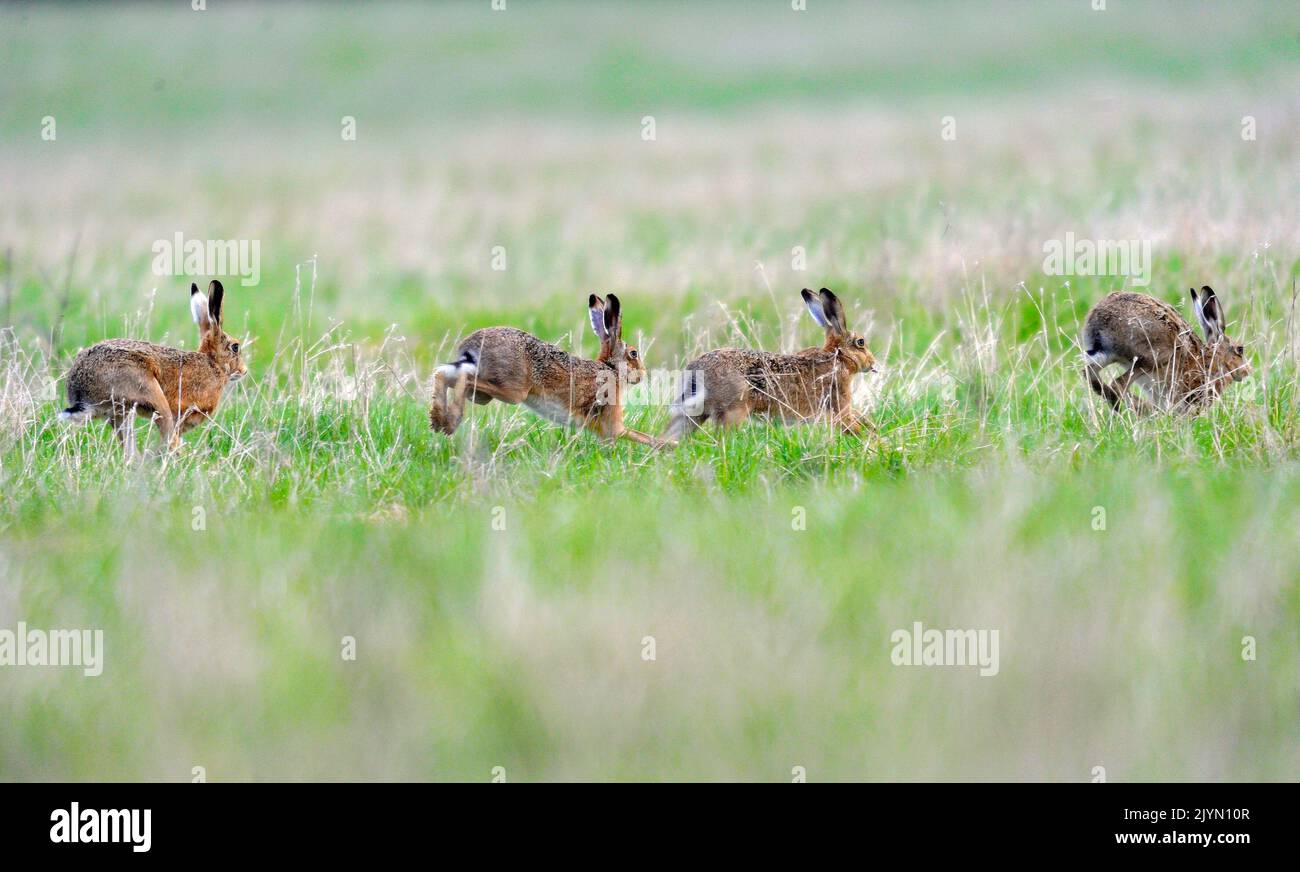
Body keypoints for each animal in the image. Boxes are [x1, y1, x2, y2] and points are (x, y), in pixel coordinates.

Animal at [58, 280, 247, 456]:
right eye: (235, 347)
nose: (244, 371)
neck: (213, 363)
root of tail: (81, 393)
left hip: (121, 413)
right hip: (153, 396)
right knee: (167, 437)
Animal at [429, 293, 663, 445]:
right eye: (633, 354)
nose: (642, 375)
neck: (611, 368)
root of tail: (472, 347)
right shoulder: (612, 424)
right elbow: (635, 435)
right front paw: (667, 446)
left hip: (482, 392)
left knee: (443, 374)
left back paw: (437, 421)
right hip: (512, 390)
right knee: (463, 379)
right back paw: (450, 422)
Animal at [664, 287, 877, 442]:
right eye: (860, 342)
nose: (873, 363)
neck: (838, 356)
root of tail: (696, 371)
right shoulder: (839, 405)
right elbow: (850, 425)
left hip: (695, 413)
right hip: (733, 410)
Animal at [1082, 286, 1249, 413]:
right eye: (1240, 350)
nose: (1247, 371)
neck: (1212, 359)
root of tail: (1100, 319)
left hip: (1108, 356)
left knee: (1090, 374)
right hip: (1155, 357)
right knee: (1118, 384)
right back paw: (1142, 409)